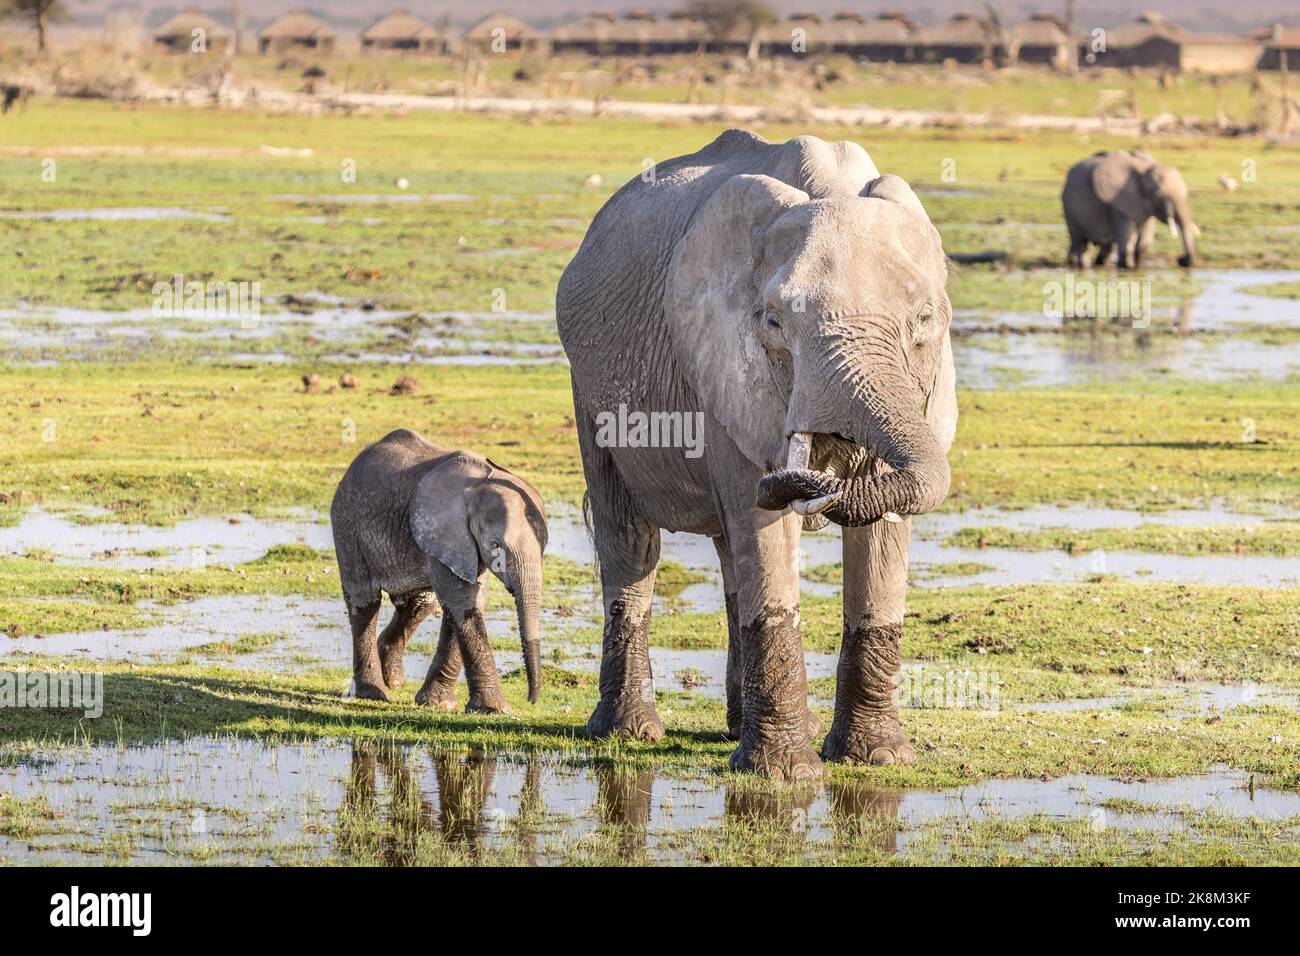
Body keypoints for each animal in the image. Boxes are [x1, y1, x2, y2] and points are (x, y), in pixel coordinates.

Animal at [330, 428, 547, 710]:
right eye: (495, 545)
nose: (531, 700)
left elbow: (471, 599)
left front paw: (438, 704)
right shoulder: (444, 530)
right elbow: (461, 598)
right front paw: (494, 709)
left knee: (420, 603)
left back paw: (394, 681)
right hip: (347, 525)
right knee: (365, 601)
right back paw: (373, 693)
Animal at [556, 129, 957, 780]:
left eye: (924, 321)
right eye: (773, 324)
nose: (811, 482)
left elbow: (883, 528)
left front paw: (876, 758)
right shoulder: (721, 366)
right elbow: (758, 517)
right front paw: (785, 774)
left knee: (729, 555)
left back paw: (733, 729)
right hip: (586, 385)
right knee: (631, 538)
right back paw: (629, 732)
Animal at [1062, 150, 1197, 269]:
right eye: (1158, 196)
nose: (1181, 260)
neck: (1144, 168)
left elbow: (1145, 239)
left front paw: (1139, 268)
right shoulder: (1119, 201)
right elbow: (1127, 234)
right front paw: (1126, 267)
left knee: (1104, 247)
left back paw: (1098, 264)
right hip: (1069, 206)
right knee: (1079, 241)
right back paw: (1084, 267)